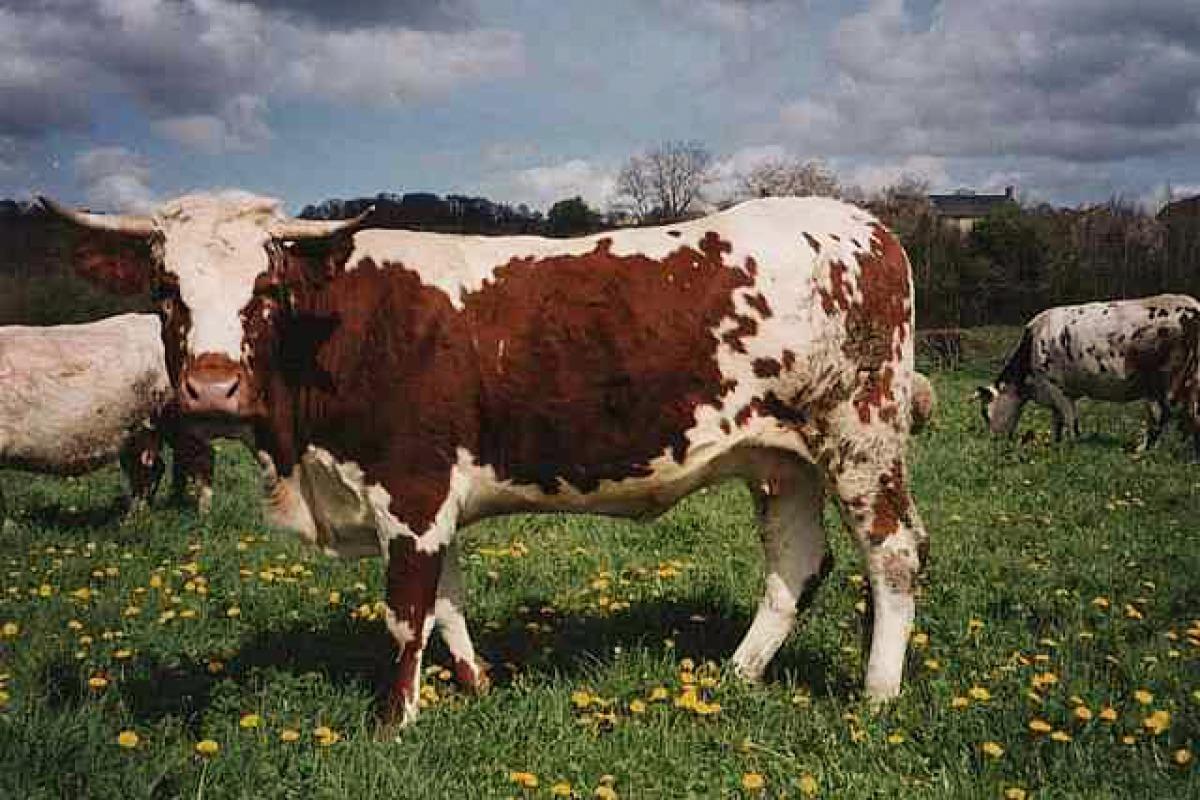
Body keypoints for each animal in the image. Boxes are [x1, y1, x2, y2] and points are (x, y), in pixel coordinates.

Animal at [0, 313, 214, 523]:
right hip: (138, 431)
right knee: (152, 468)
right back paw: (132, 519)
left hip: (179, 418)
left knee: (202, 458)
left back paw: (202, 517)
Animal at [42, 192, 928, 729]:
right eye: (164, 289)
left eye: (267, 290)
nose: (211, 387)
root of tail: (863, 224)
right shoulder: (429, 498)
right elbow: (447, 602)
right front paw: (476, 688)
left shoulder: (409, 485)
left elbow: (406, 610)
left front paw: (392, 722)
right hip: (783, 461)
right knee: (795, 565)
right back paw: (734, 678)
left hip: (861, 436)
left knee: (892, 554)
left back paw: (878, 696)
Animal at [977, 294, 1200, 454]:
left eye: (985, 413)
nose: (994, 440)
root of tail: (1192, 306)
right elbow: (1057, 421)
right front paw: (1056, 443)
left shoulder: (1056, 386)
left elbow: (1070, 419)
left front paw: (1071, 445)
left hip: (1160, 381)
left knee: (1161, 414)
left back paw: (1141, 450)